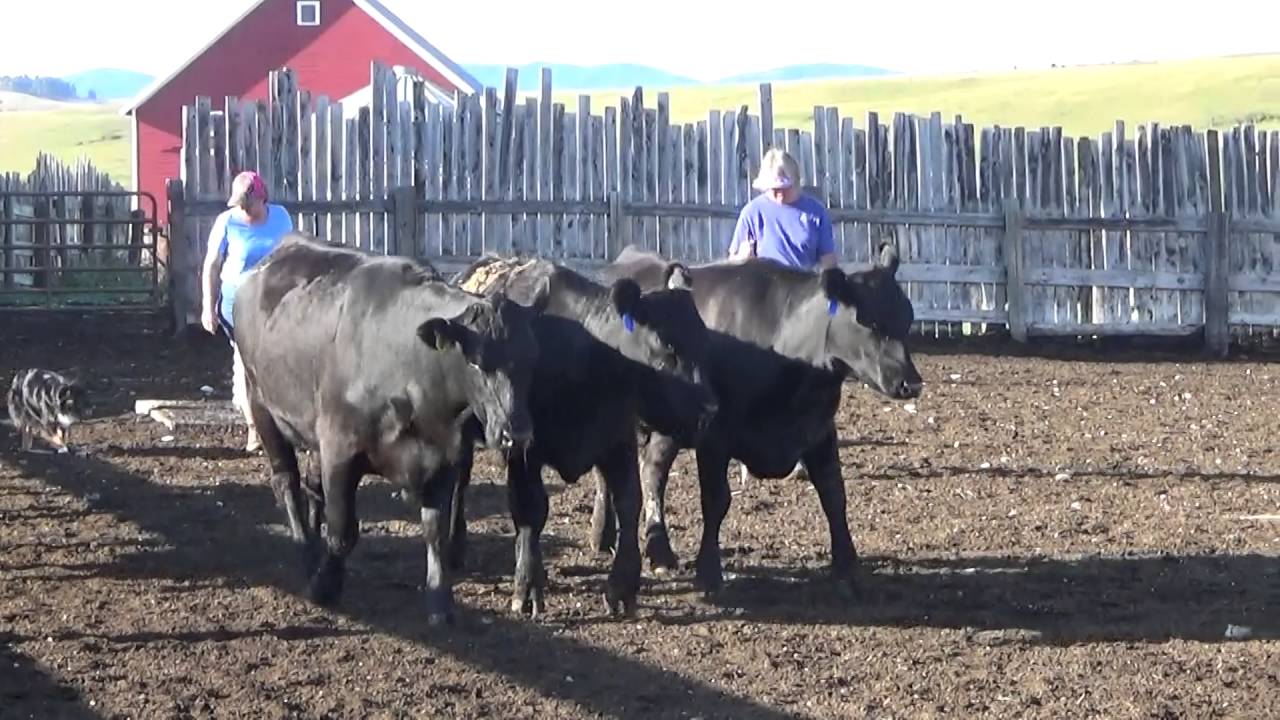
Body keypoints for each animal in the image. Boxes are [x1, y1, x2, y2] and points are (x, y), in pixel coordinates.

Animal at [231, 233, 546, 627]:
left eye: (532, 358)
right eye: (475, 361)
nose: (515, 434)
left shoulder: (442, 458)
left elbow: (435, 533)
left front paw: (440, 603)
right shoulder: (340, 452)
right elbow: (343, 533)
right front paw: (324, 586)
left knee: (312, 487)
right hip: (262, 405)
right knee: (286, 482)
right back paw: (306, 553)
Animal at [447, 253, 718, 618]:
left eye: (706, 343)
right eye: (666, 345)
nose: (710, 410)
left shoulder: (617, 438)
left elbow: (629, 501)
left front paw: (622, 584)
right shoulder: (523, 447)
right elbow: (530, 510)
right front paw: (528, 584)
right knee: (459, 481)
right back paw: (455, 545)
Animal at [590, 241, 922, 598]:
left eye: (907, 318)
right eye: (870, 322)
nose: (912, 383)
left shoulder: (819, 430)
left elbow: (834, 495)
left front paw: (848, 569)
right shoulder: (715, 436)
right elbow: (716, 501)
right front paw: (709, 572)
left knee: (651, 470)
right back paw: (611, 536)